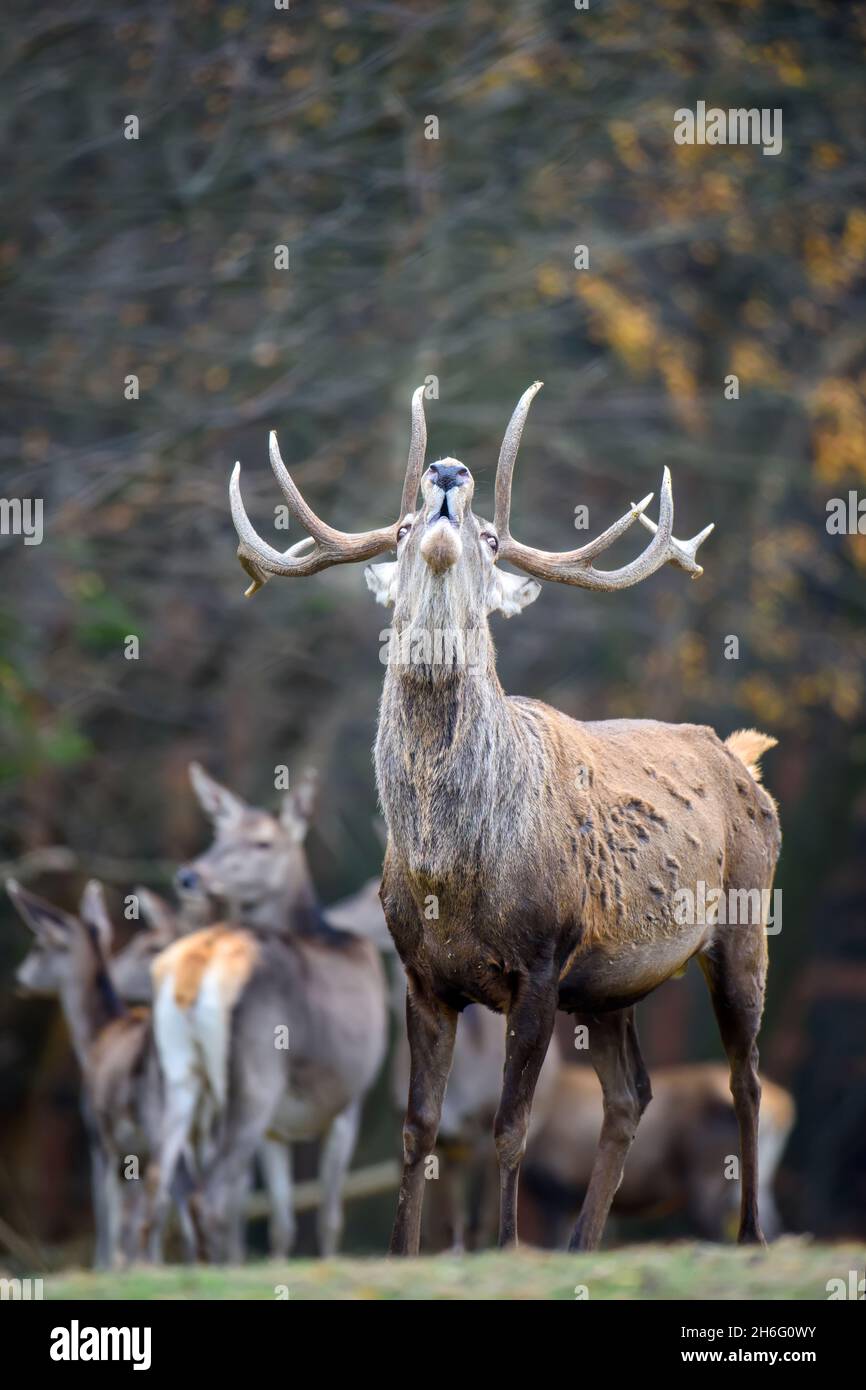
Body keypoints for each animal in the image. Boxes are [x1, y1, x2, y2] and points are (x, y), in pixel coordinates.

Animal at [145, 766, 388, 1261]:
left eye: (262, 842)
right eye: (219, 835)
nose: (190, 876)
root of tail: (197, 968)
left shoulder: (278, 1128)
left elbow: (281, 1224)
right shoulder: (351, 1095)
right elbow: (329, 1219)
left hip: (176, 1075)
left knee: (160, 1180)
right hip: (256, 1076)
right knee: (212, 1192)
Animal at [524, 1062, 794, 1244]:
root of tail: (782, 1108)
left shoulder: (557, 1191)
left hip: (710, 1176)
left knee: (713, 1226)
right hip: (758, 1177)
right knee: (770, 1224)